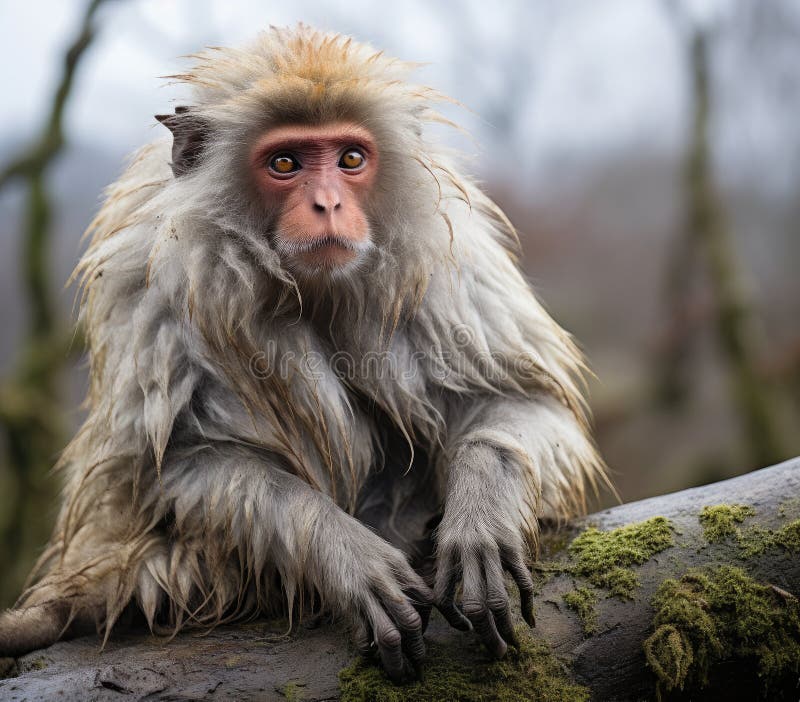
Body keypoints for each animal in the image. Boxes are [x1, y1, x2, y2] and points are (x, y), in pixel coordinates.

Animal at [0, 26, 607, 683]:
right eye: (285, 163)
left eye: (350, 159)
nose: (327, 204)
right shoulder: (151, 291)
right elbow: (178, 463)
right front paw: (346, 557)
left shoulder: (446, 265)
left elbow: (521, 397)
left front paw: (480, 523)